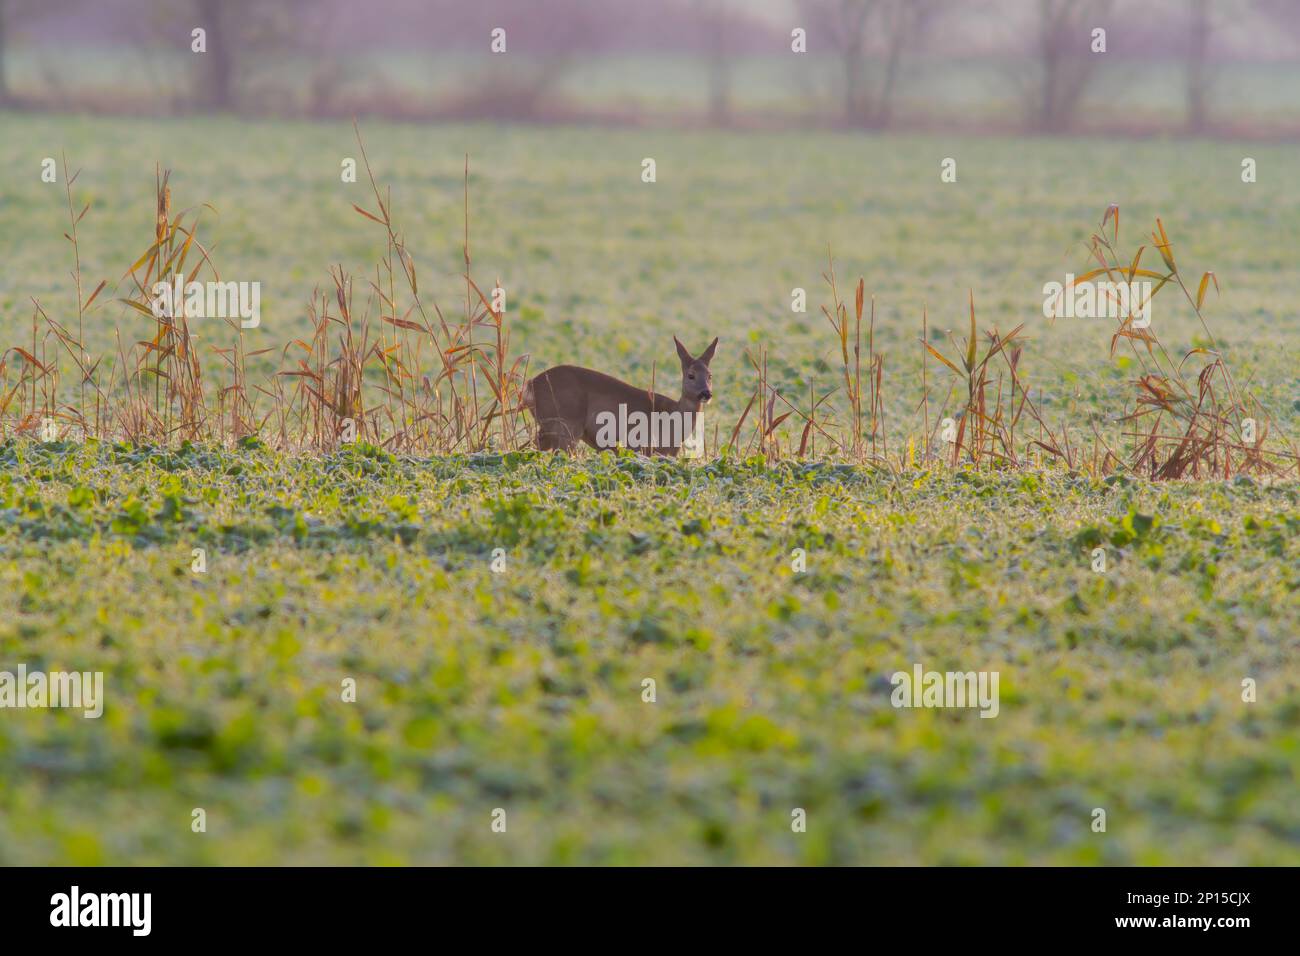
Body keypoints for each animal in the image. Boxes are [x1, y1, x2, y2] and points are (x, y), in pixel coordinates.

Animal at [522, 336, 718, 457]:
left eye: (710, 375)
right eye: (691, 375)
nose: (706, 393)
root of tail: (531, 385)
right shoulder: (639, 443)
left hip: (549, 427)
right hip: (565, 424)